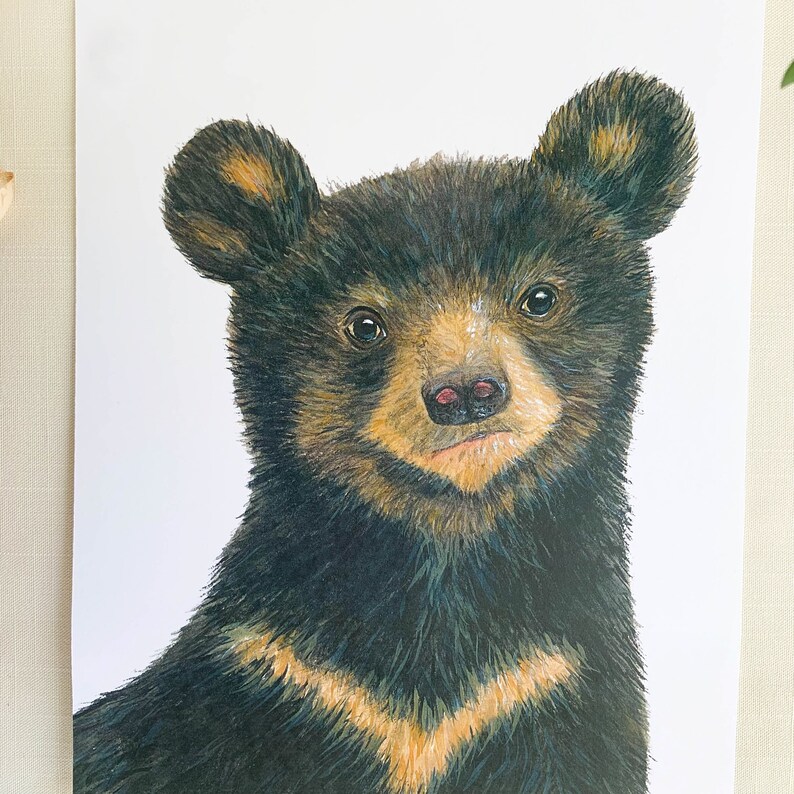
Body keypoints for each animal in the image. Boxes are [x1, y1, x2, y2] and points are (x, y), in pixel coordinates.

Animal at [74, 70, 697, 794]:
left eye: (539, 297)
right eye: (364, 324)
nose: (465, 391)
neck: (443, 562)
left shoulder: (554, 690)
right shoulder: (276, 681)